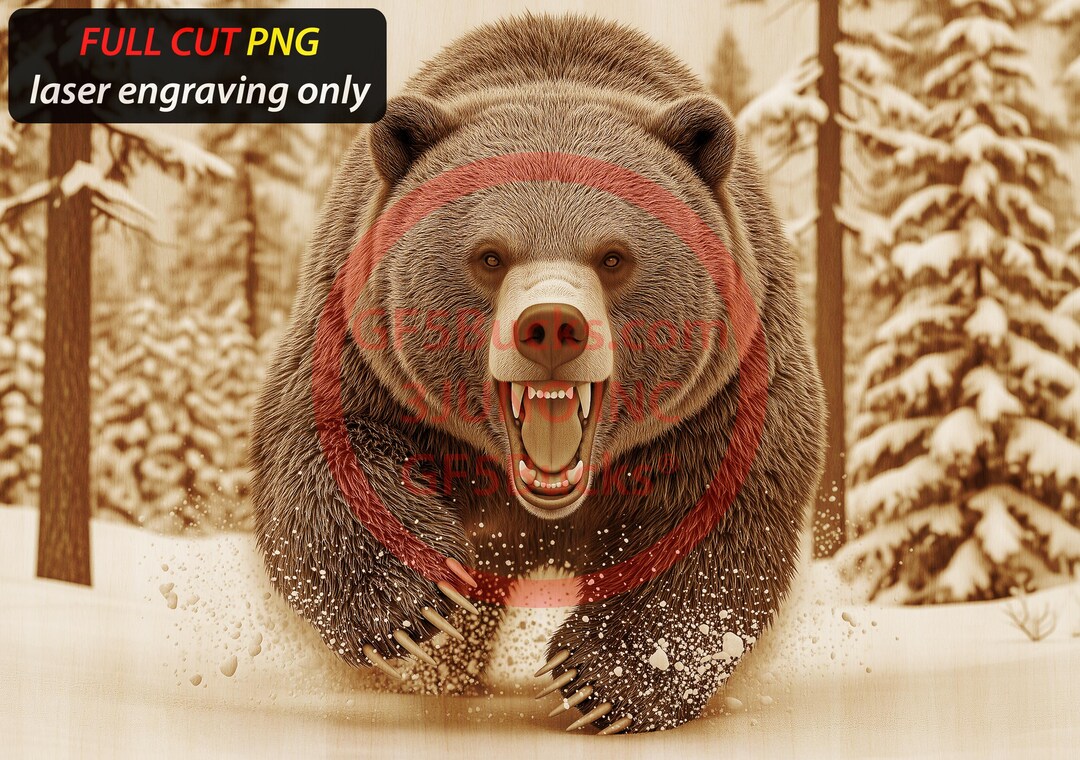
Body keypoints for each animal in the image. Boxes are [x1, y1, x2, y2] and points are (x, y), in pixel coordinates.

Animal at [250, 13, 825, 734]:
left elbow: (718, 515)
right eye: (489, 256)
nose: (552, 324)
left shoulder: (720, 393)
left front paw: (596, 681)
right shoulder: (366, 355)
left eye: (613, 256)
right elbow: (327, 451)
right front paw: (418, 604)